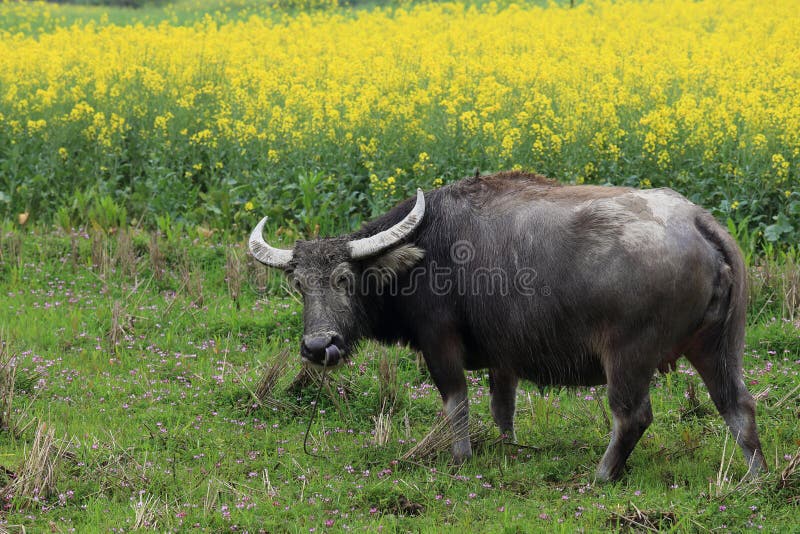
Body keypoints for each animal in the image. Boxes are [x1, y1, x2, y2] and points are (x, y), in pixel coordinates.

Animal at [249, 171, 766, 481]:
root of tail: (697, 221)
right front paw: (507, 448)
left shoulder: (440, 343)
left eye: (343, 278)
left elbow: (456, 403)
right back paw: (755, 476)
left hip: (629, 356)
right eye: (299, 283)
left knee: (632, 416)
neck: (424, 253)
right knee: (738, 405)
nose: (318, 346)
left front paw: (461, 457)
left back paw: (600, 475)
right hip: (717, 345)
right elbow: (503, 409)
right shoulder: (504, 360)